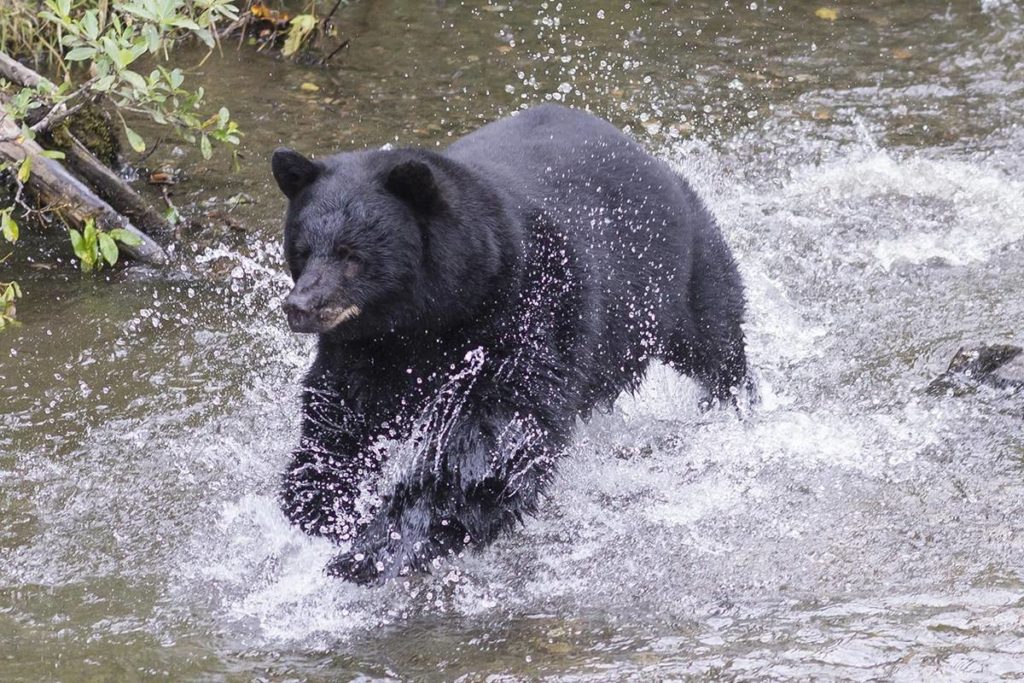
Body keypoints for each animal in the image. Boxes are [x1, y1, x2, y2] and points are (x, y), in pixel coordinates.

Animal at [270, 104, 749, 585]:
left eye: (351, 255)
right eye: (302, 250)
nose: (300, 306)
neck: (429, 317)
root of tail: (644, 153)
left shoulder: (523, 315)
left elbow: (492, 443)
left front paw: (381, 547)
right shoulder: (364, 351)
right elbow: (337, 422)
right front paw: (319, 508)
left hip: (679, 275)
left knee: (717, 338)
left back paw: (734, 404)